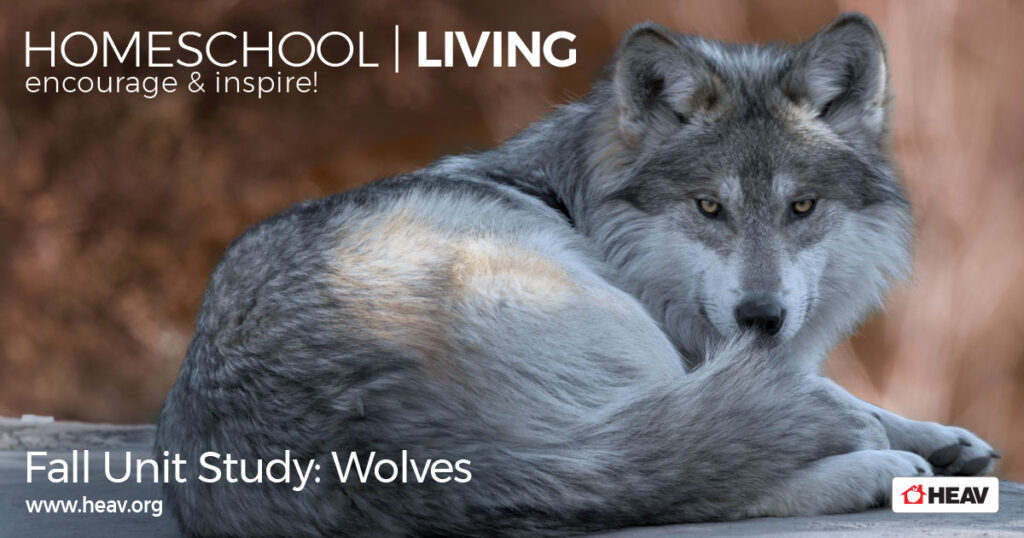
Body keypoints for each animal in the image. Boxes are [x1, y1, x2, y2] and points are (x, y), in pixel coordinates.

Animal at [156, 13, 999, 536]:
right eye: (708, 206)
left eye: (802, 207)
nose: (761, 318)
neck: (577, 200)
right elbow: (821, 401)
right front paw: (886, 434)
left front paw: (947, 438)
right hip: (607, 335)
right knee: (686, 486)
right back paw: (877, 467)